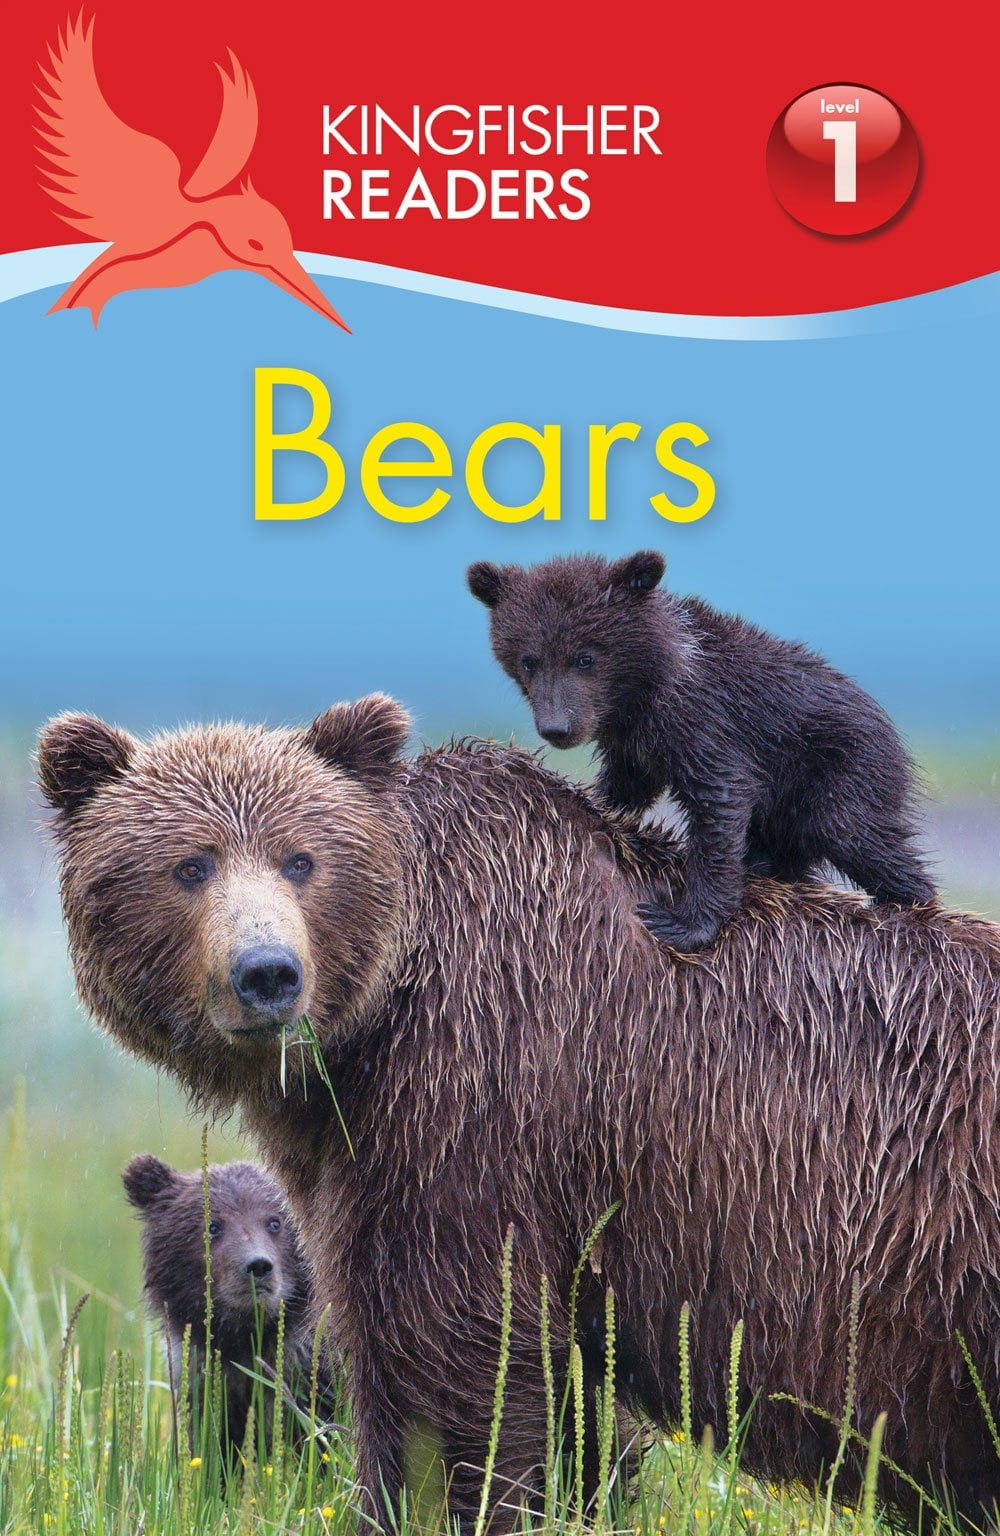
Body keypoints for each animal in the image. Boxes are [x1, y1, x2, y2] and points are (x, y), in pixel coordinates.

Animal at [467, 550, 936, 950]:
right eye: (530, 660)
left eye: (585, 658)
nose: (557, 728)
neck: (644, 690)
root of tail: (891, 730)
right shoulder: (633, 741)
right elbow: (627, 787)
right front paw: (591, 800)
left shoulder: (706, 722)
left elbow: (720, 803)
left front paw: (680, 923)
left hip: (840, 766)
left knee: (853, 831)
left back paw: (908, 903)